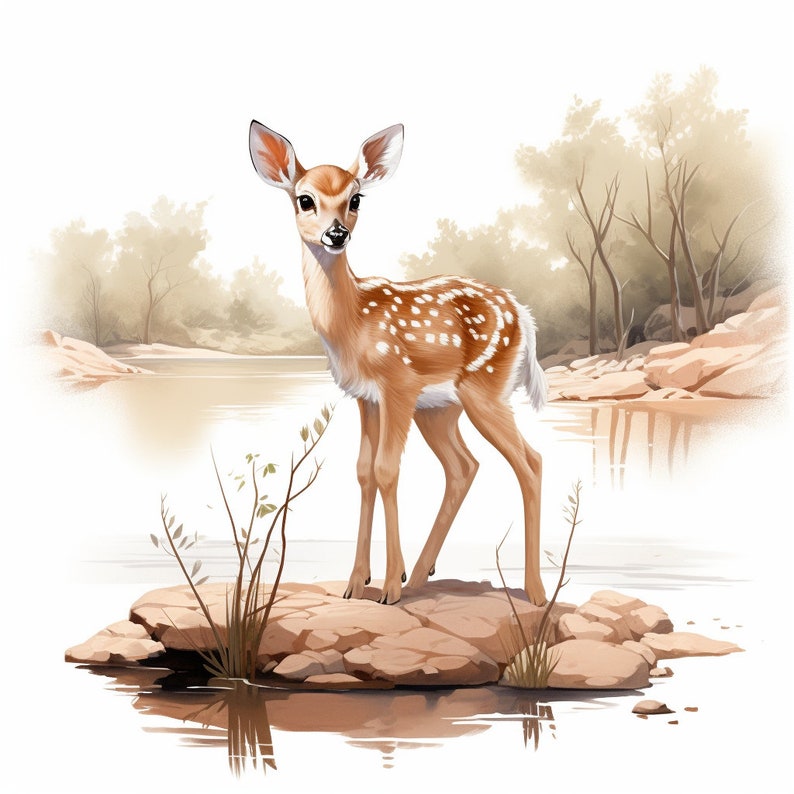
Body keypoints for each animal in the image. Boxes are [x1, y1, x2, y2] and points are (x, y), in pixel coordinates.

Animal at [249, 121, 548, 606]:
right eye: (304, 199)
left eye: (355, 199)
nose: (337, 234)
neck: (353, 322)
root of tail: (523, 315)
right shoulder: (366, 397)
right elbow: (364, 473)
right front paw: (357, 583)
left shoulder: (397, 384)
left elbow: (388, 471)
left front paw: (388, 587)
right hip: (441, 409)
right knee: (464, 467)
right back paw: (422, 574)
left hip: (483, 390)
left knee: (530, 462)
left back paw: (536, 591)